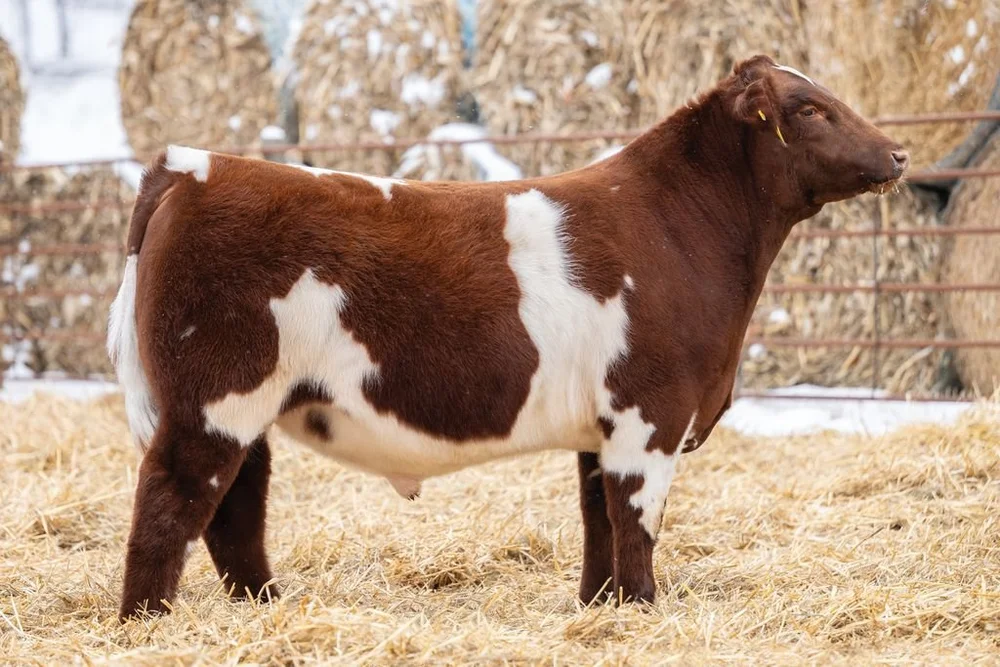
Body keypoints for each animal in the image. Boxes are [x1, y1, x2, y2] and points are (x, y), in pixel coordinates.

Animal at [107, 54, 909, 621]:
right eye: (809, 108)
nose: (898, 153)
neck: (681, 229)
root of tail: (194, 167)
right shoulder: (649, 416)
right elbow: (636, 520)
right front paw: (645, 609)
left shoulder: (602, 425)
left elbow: (598, 521)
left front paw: (601, 608)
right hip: (215, 399)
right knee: (171, 501)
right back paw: (148, 621)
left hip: (245, 409)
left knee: (235, 511)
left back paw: (269, 610)